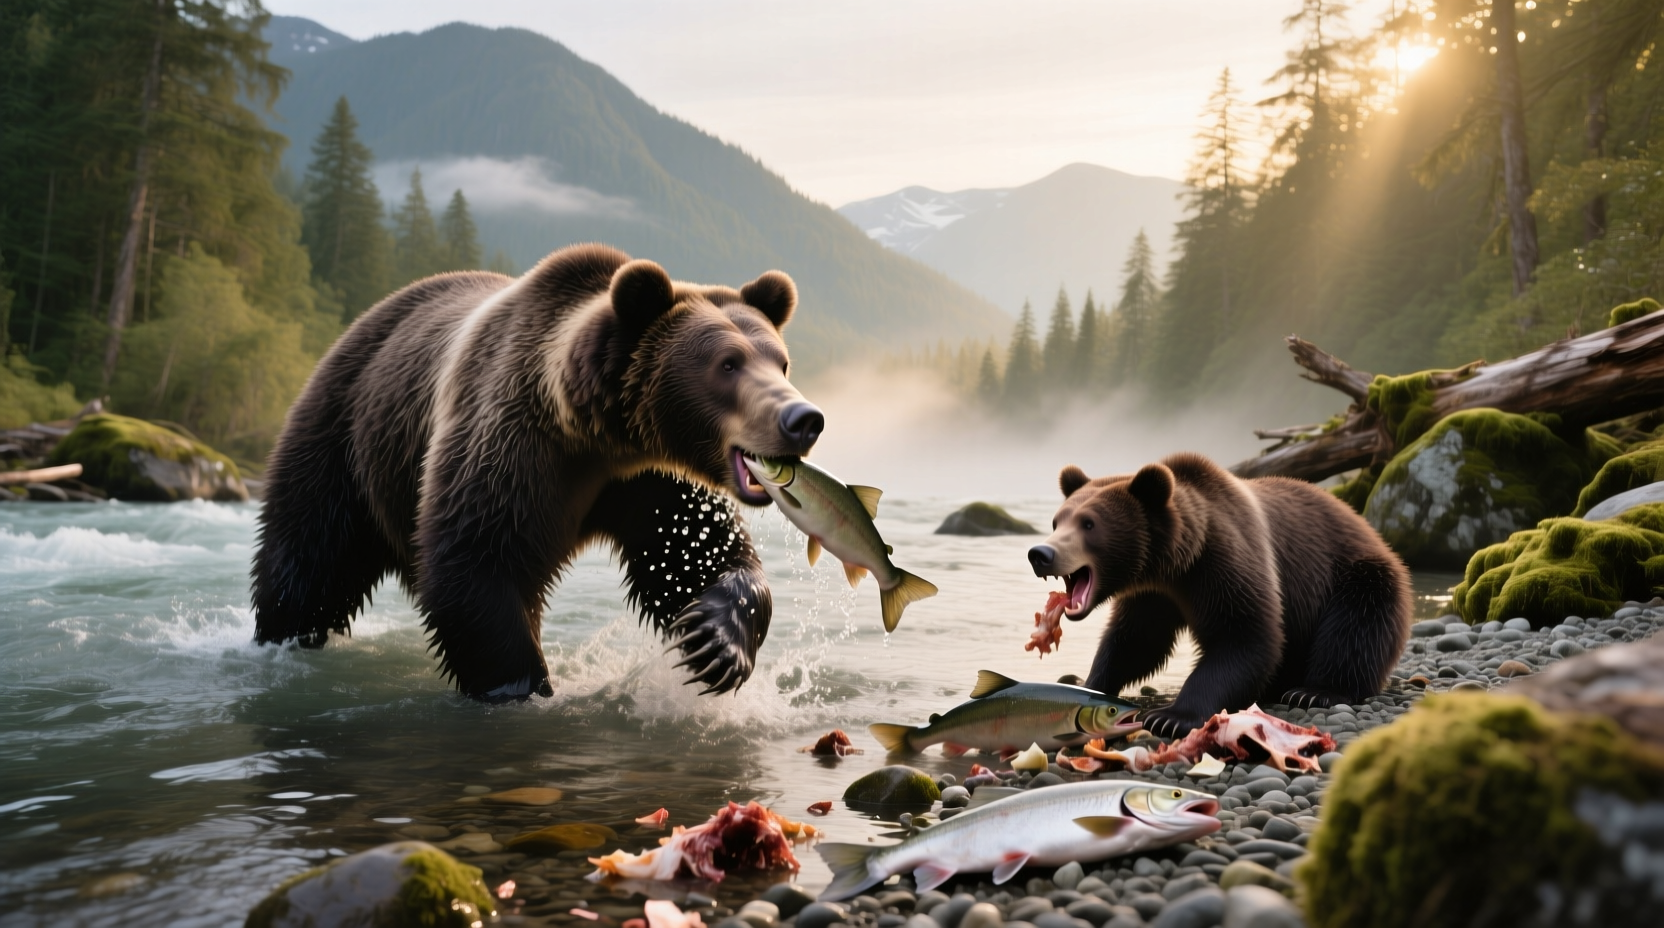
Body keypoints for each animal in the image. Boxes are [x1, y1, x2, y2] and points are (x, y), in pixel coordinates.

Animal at [251, 243, 824, 701]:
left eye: (780, 361)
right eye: (728, 363)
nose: (803, 419)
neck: (599, 436)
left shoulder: (651, 478)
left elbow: (693, 554)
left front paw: (715, 643)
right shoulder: (514, 445)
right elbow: (479, 561)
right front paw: (521, 685)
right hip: (343, 439)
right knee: (308, 560)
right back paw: (283, 635)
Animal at [1027, 452, 1411, 738]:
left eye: (1089, 524)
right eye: (1057, 521)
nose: (1040, 553)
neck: (1179, 561)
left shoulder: (1227, 562)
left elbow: (1245, 636)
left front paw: (1171, 716)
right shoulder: (1155, 595)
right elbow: (1134, 641)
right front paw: (1091, 684)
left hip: (1355, 575)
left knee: (1356, 624)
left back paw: (1314, 690)